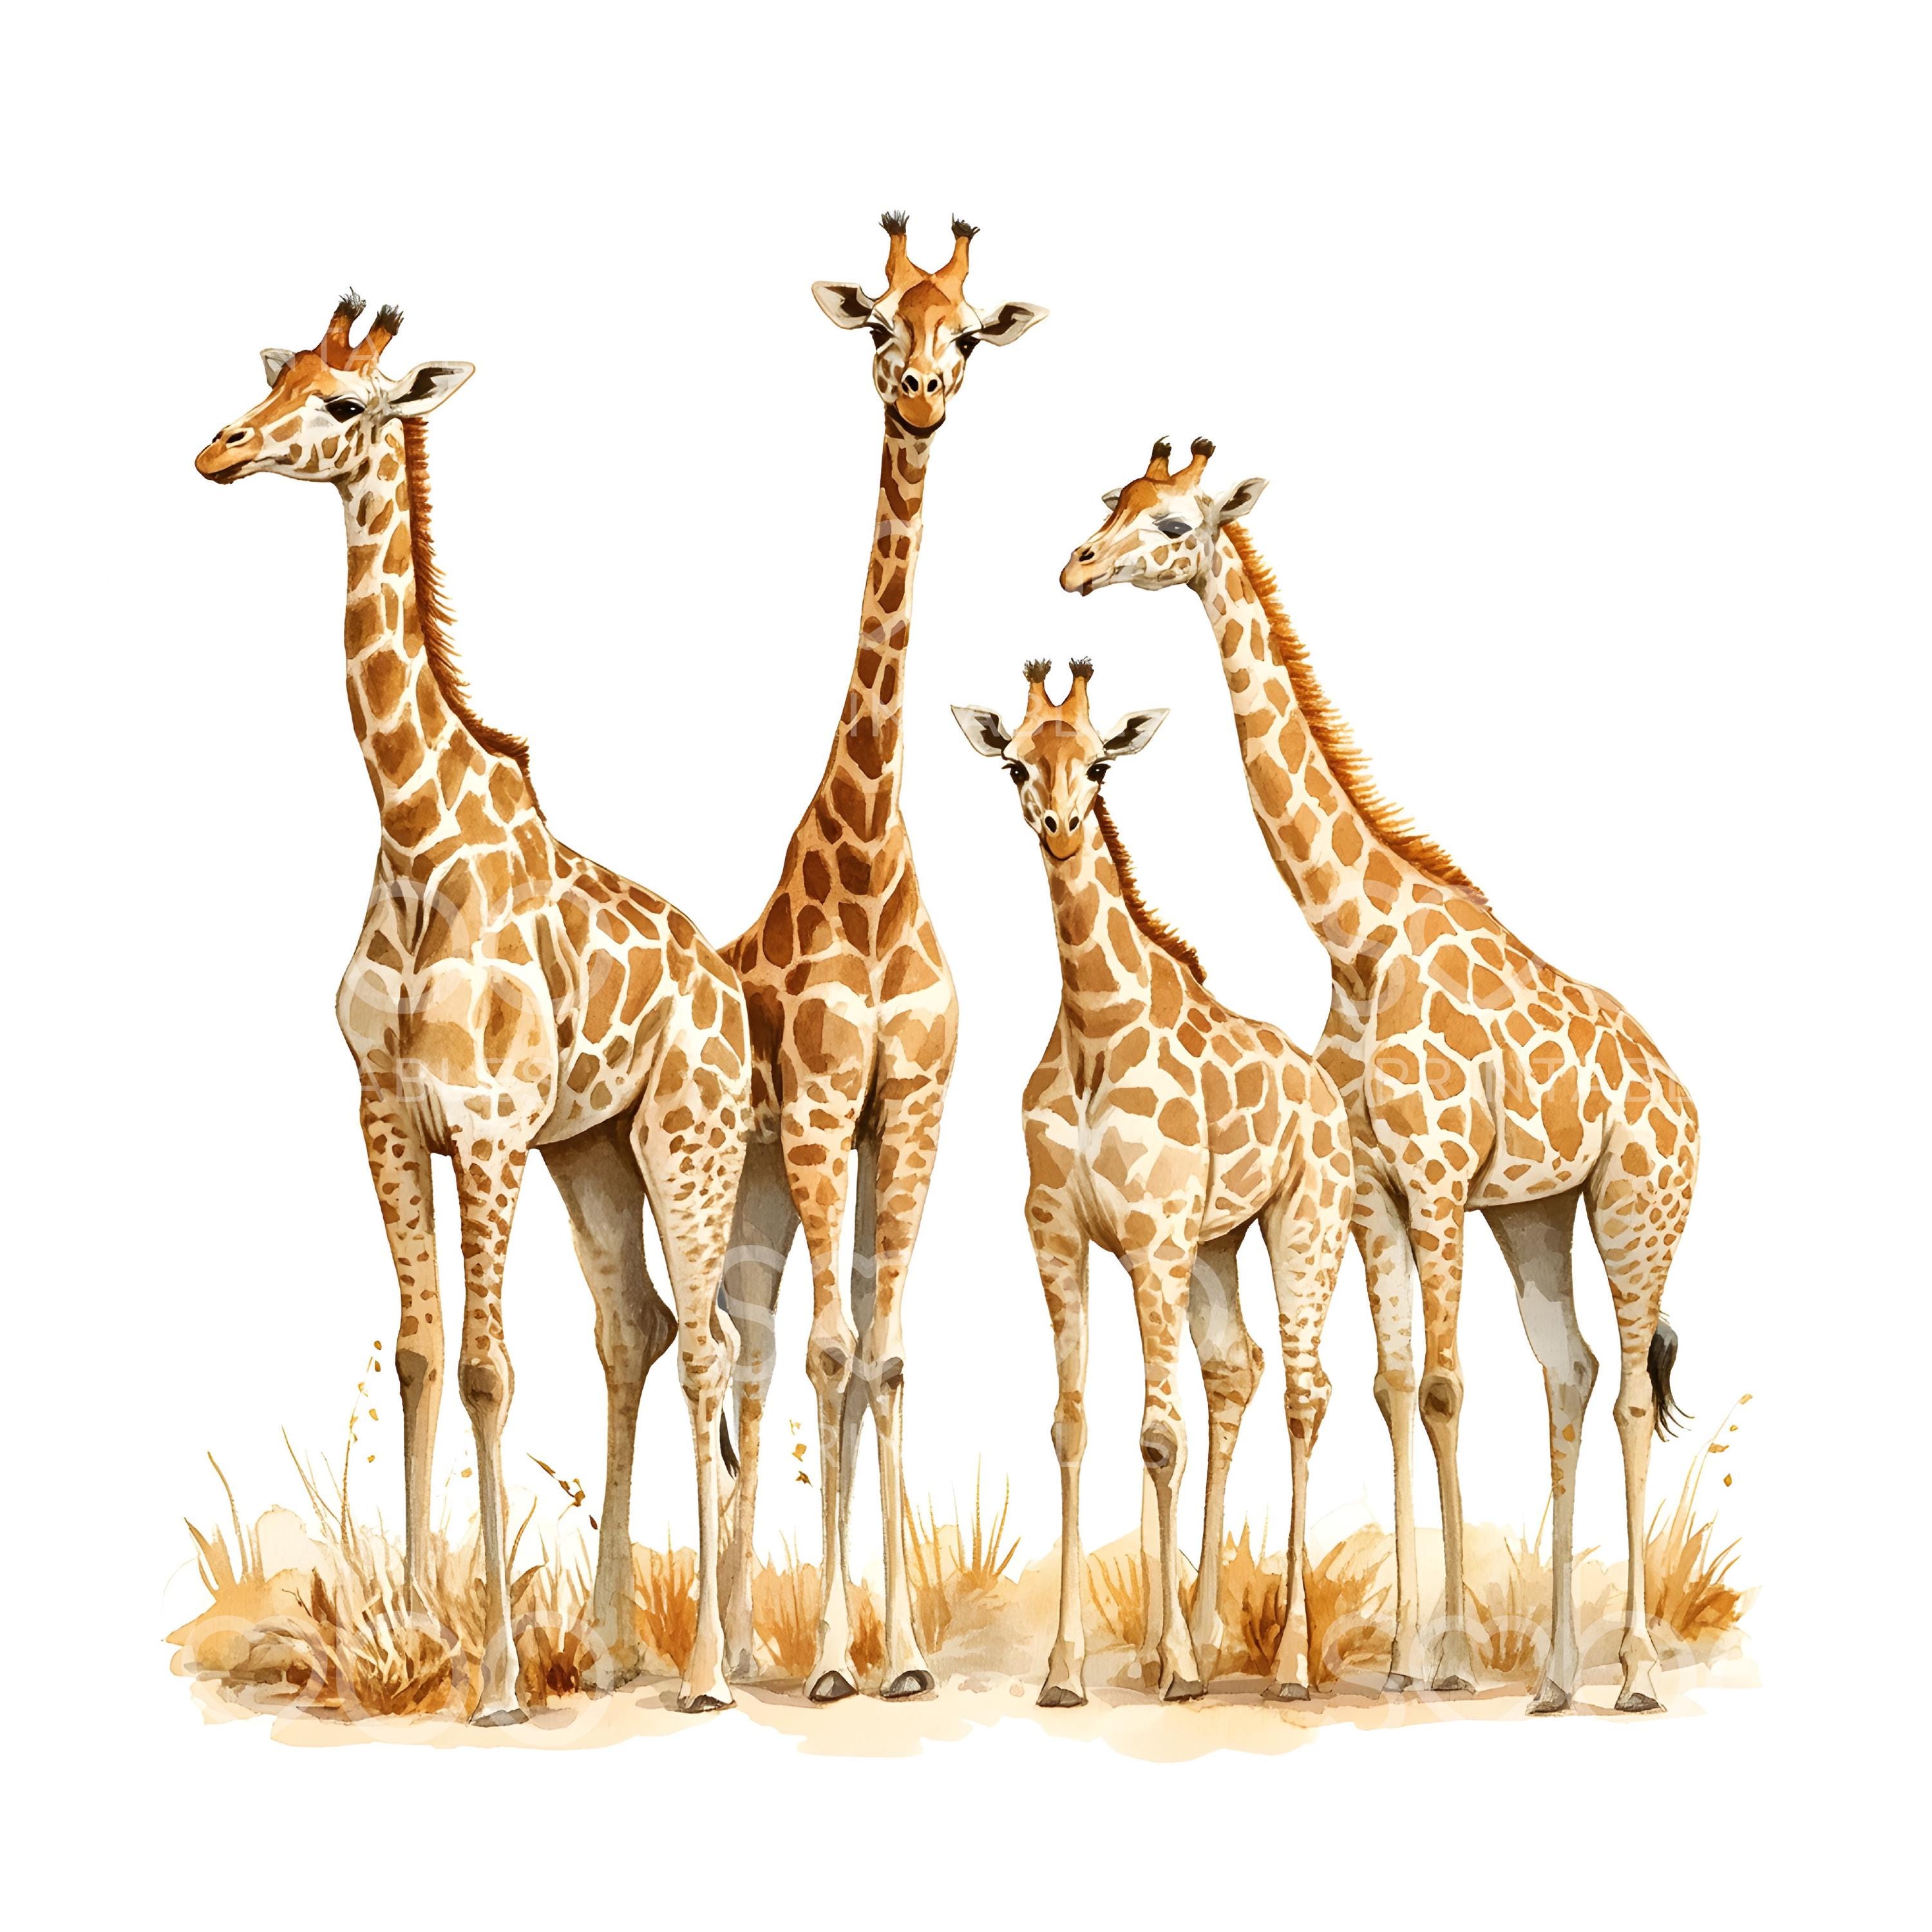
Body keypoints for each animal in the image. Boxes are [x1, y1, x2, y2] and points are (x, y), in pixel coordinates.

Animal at [194, 295, 751, 1720]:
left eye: (346, 404)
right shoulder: (390, 1115)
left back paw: (708, 1669)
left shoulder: (488, 1127)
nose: (220, 450)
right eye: (277, 378)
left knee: (711, 1343)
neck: (412, 835)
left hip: (686, 1140)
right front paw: (411, 1636)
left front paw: (494, 1676)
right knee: (642, 1329)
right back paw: (617, 1649)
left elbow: (496, 1367)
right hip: (593, 1153)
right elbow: (418, 1352)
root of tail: (726, 988)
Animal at [952, 660, 1355, 1705]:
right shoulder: (1061, 1232)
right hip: (1216, 1245)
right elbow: (1075, 1425)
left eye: (1099, 763)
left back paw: (1285, 1663)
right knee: (1237, 1369)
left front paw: (1169, 1662)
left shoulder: (1154, 1233)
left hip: (1304, 1224)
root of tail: (1327, 1095)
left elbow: (1158, 1435)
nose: (1060, 826)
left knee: (1305, 1393)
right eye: (1015, 762)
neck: (1096, 1025)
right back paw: (1204, 1641)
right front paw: (1072, 1669)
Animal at [1060, 439, 1699, 1713]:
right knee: (1572, 1373)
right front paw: (1406, 1654)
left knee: (1629, 1389)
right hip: (1539, 1213)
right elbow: (1397, 1385)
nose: (1077, 567)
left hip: (1634, 1207)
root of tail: (1687, 1103)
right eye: (1111, 504)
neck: (1356, 937)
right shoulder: (1373, 1186)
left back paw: (1637, 1671)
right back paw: (1557, 1675)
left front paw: (1445, 1656)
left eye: (1170, 523)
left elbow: (1447, 1386)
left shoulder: (1439, 1177)